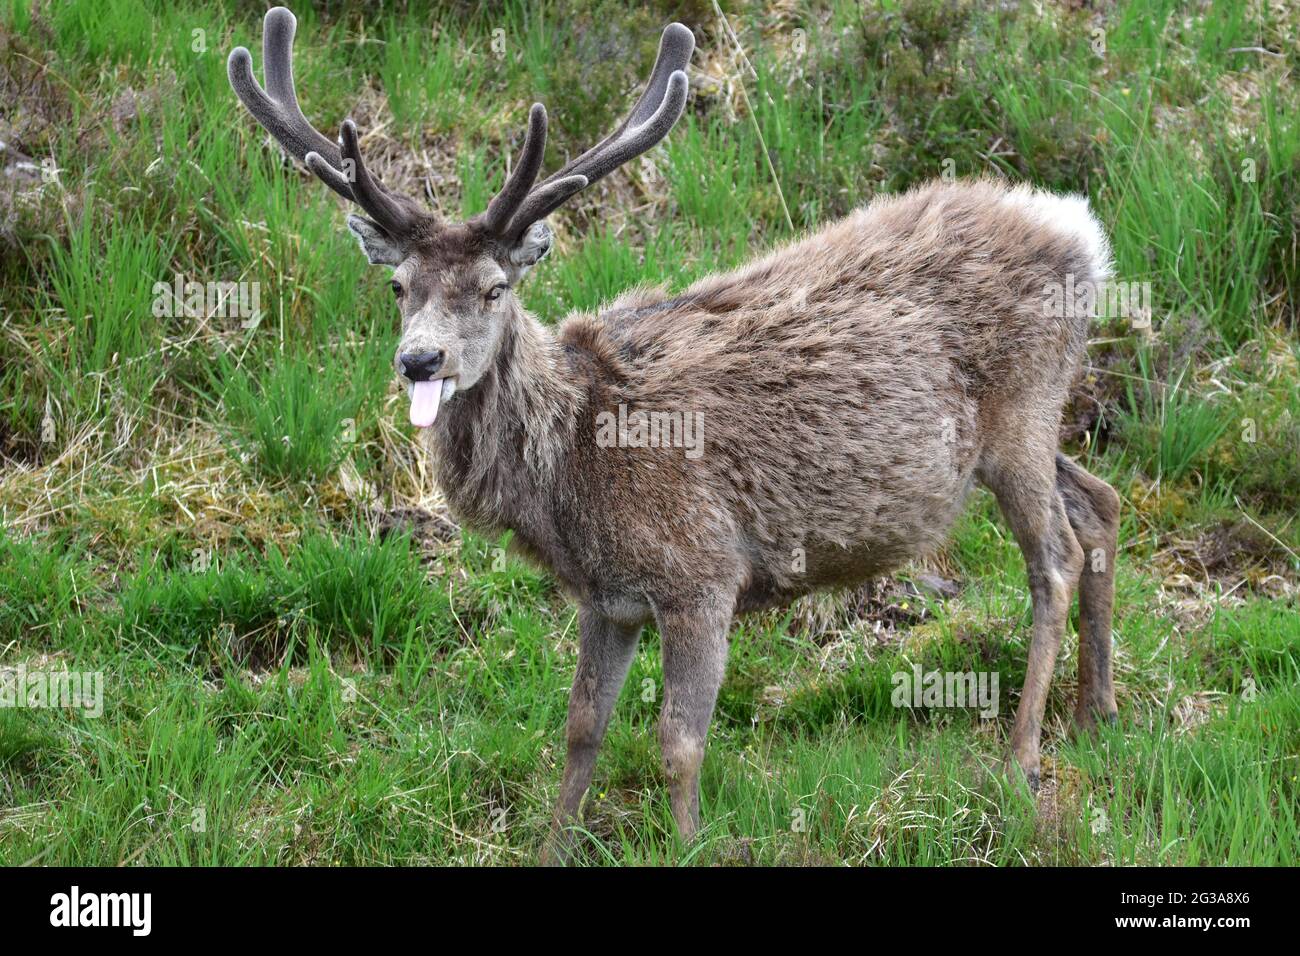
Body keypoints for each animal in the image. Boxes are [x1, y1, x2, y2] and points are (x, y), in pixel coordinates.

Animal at [229, 7, 1122, 862]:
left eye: (492, 288)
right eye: (398, 285)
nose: (420, 359)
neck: (575, 472)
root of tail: (1084, 231)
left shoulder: (703, 573)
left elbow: (678, 741)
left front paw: (689, 843)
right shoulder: (609, 598)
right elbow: (581, 729)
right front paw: (553, 847)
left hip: (1021, 411)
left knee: (1053, 558)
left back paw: (1023, 756)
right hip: (1033, 424)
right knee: (1100, 503)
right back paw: (1096, 713)